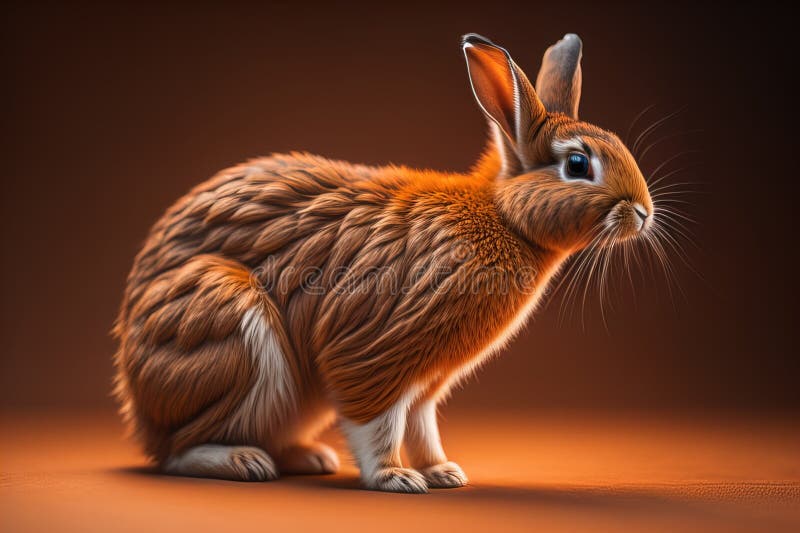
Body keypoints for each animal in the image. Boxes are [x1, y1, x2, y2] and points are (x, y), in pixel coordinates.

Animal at [113, 32, 654, 493]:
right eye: (578, 164)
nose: (645, 213)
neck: (503, 214)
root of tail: (134, 393)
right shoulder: (374, 351)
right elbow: (377, 422)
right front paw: (396, 478)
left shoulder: (426, 380)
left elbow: (421, 425)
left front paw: (443, 472)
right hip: (227, 326)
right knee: (176, 451)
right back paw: (243, 462)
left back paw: (308, 458)